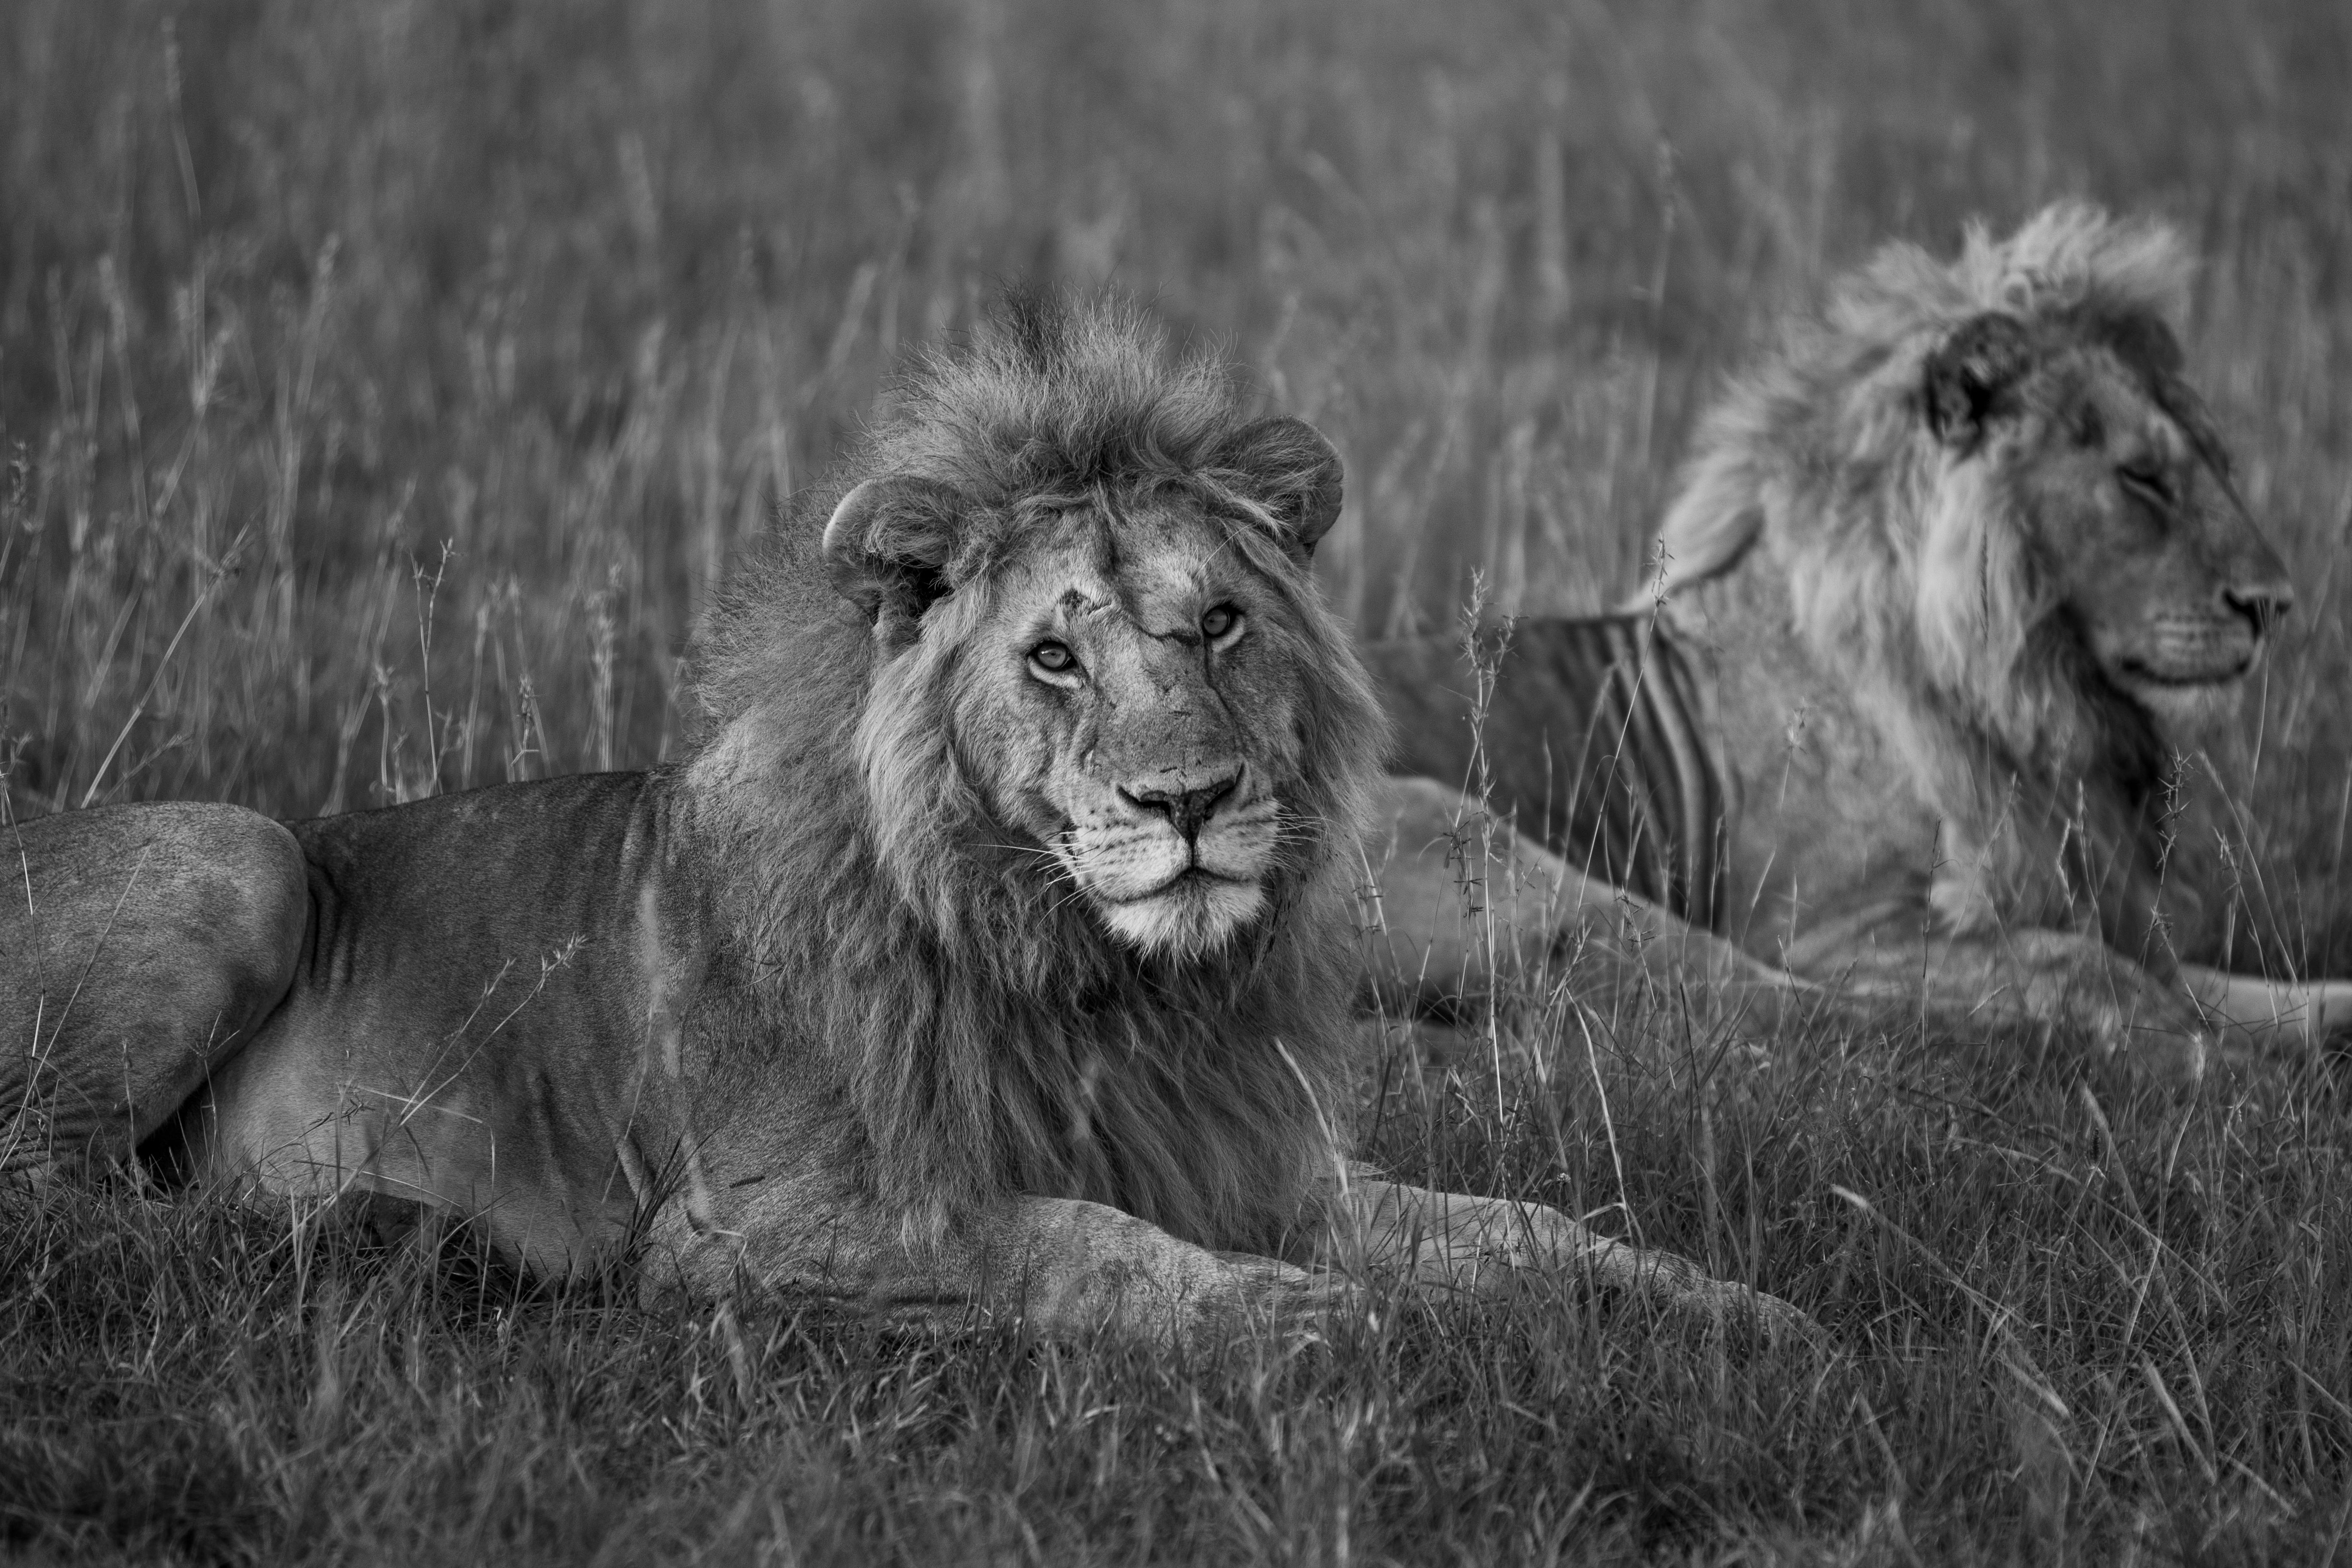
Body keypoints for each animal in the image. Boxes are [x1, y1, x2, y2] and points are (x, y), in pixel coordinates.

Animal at [0, 298, 1801, 1344]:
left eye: (1221, 623)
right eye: (1055, 654)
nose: (1192, 799)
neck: (1115, 992)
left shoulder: (1254, 1153)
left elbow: (1527, 1231)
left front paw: (1739, 1314)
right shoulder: (758, 1226)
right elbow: (1087, 1246)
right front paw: (1328, 1327)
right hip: (242, 854)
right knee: (73, 1212)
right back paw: (380, 1238)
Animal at [1364, 204, 2352, 1081]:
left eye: (2217, 466)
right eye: (2142, 477)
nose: (2274, 604)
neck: (2025, 703)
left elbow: (2222, 982)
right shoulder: (1831, 927)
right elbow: (2082, 964)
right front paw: (2204, 1053)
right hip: (1493, 851)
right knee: (1754, 1011)